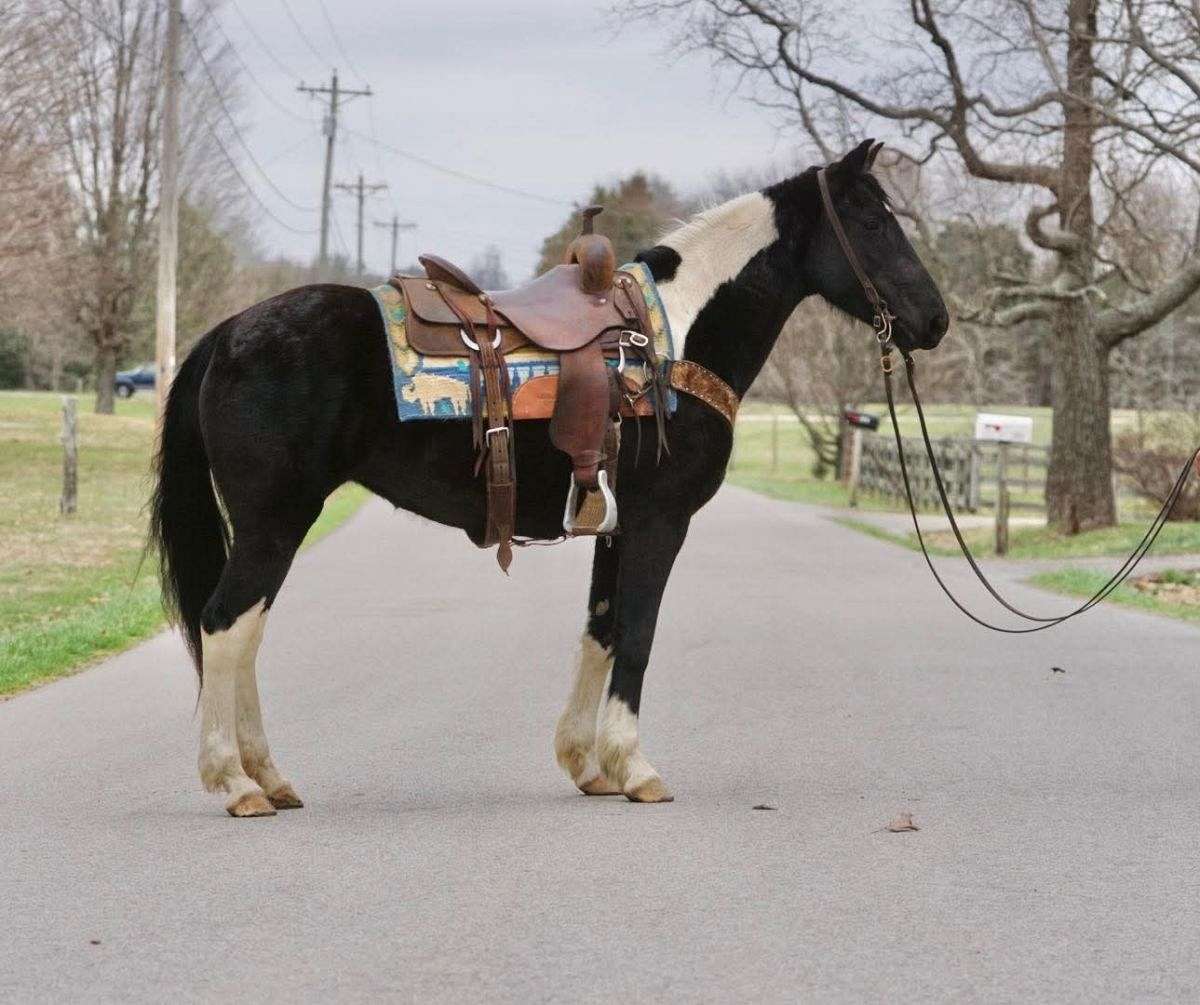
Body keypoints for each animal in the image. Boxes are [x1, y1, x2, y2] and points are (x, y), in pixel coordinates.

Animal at [149, 139, 949, 817]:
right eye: (872, 221)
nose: (935, 320)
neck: (671, 341)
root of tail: (228, 331)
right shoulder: (661, 523)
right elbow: (637, 633)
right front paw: (636, 767)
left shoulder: (614, 525)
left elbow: (600, 630)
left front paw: (588, 765)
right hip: (275, 519)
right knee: (225, 624)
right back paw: (235, 782)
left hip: (274, 523)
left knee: (246, 631)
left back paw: (269, 777)